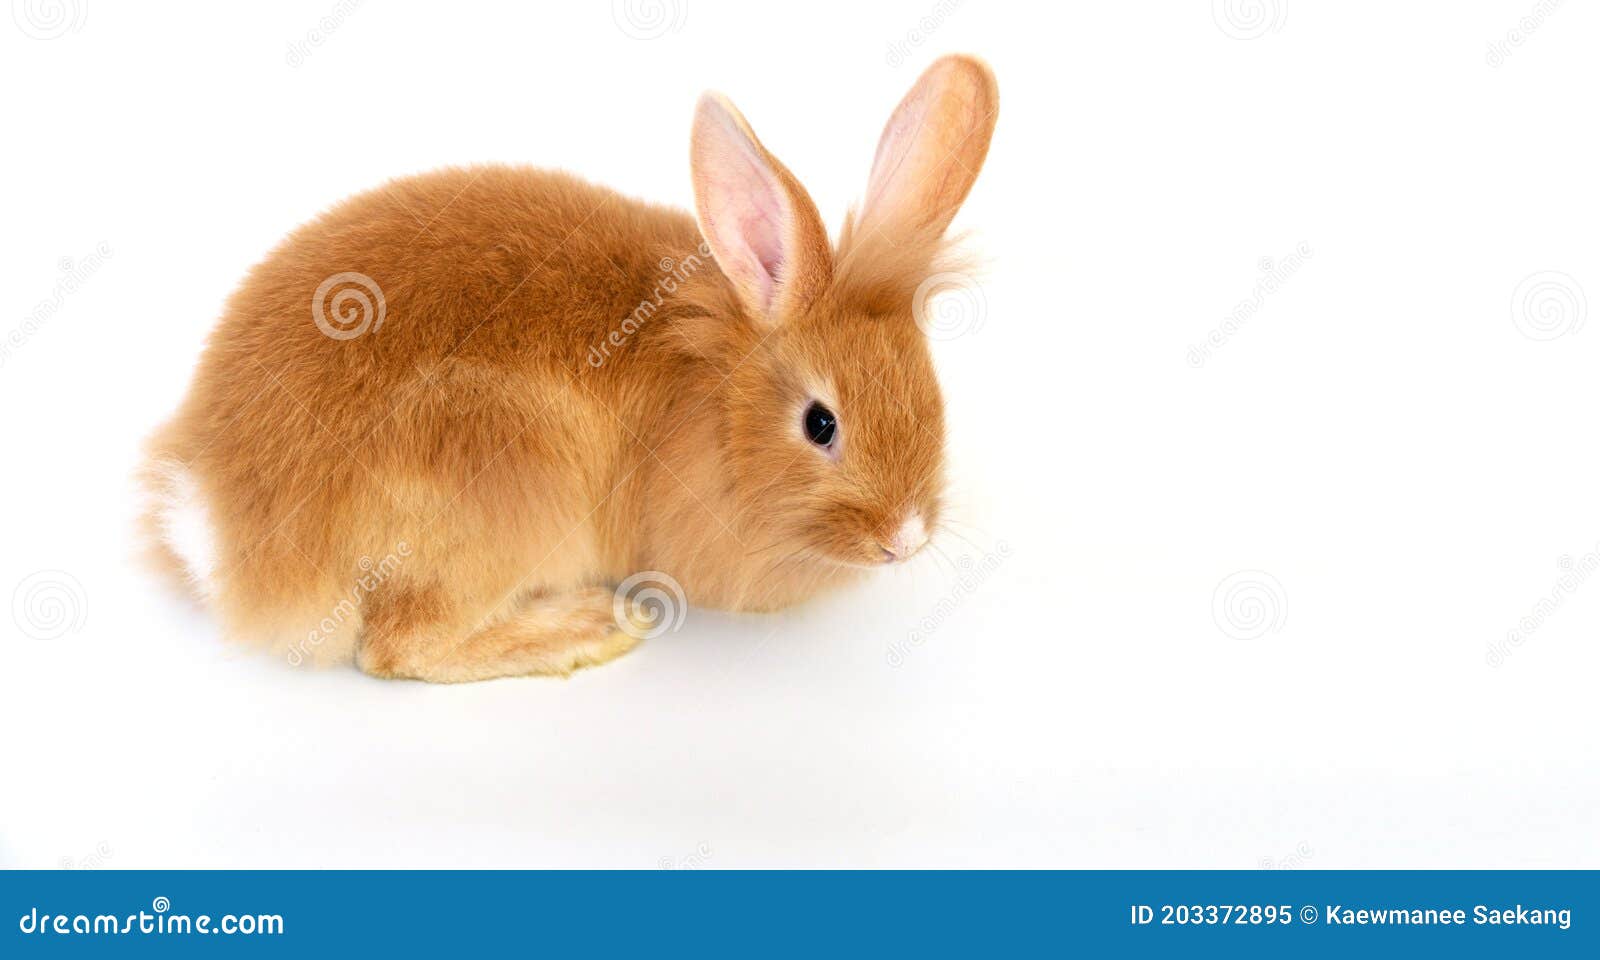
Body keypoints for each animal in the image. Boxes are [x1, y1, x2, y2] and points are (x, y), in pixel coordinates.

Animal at [140, 54, 998, 682]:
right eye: (821, 424)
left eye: (935, 401)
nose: (905, 539)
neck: (716, 397)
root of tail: (223, 526)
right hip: (502, 474)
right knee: (401, 648)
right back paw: (592, 626)